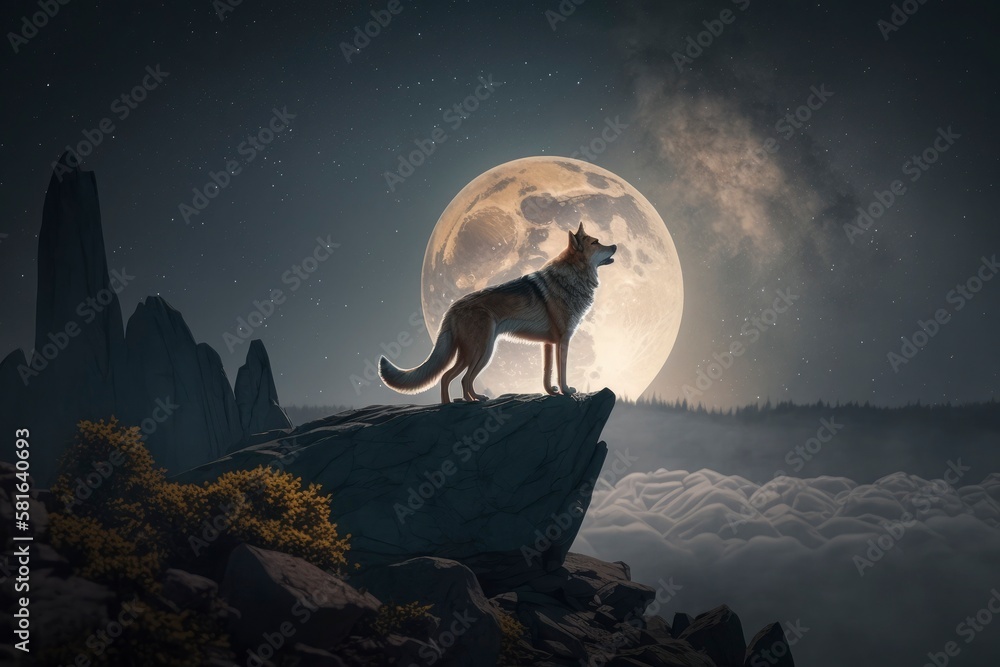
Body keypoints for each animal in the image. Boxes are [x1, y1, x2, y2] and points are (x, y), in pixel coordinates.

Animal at [379, 223, 617, 403]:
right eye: (596, 242)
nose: (615, 245)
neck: (572, 278)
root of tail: (452, 308)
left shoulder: (548, 344)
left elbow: (546, 375)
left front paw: (552, 392)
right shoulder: (563, 341)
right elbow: (562, 372)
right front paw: (567, 391)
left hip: (477, 354)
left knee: (455, 379)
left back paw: (468, 400)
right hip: (481, 352)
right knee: (455, 378)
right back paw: (462, 403)